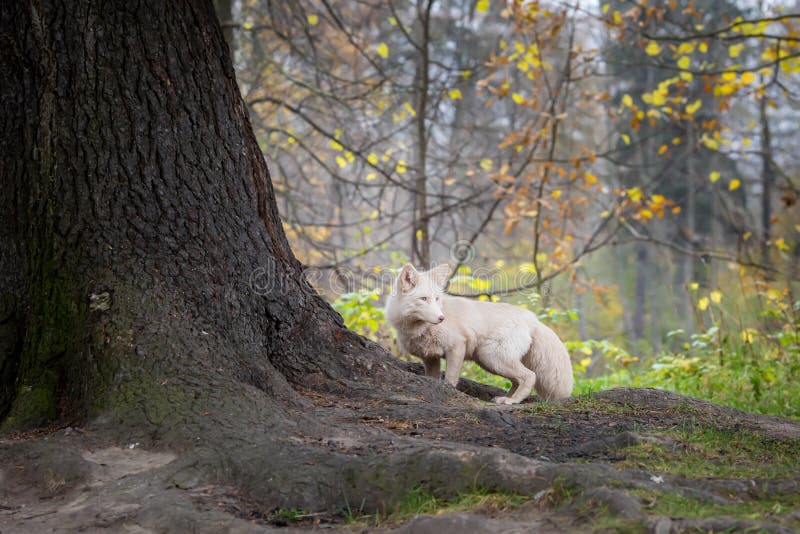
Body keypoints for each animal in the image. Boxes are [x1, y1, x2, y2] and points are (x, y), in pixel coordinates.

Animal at [385, 263, 573, 404]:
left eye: (437, 299)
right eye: (423, 299)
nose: (441, 317)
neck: (417, 329)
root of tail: (533, 319)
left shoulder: (457, 347)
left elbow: (451, 378)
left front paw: (449, 391)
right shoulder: (430, 358)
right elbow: (433, 377)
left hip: (490, 356)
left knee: (530, 376)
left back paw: (511, 401)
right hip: (490, 361)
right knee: (517, 380)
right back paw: (505, 398)